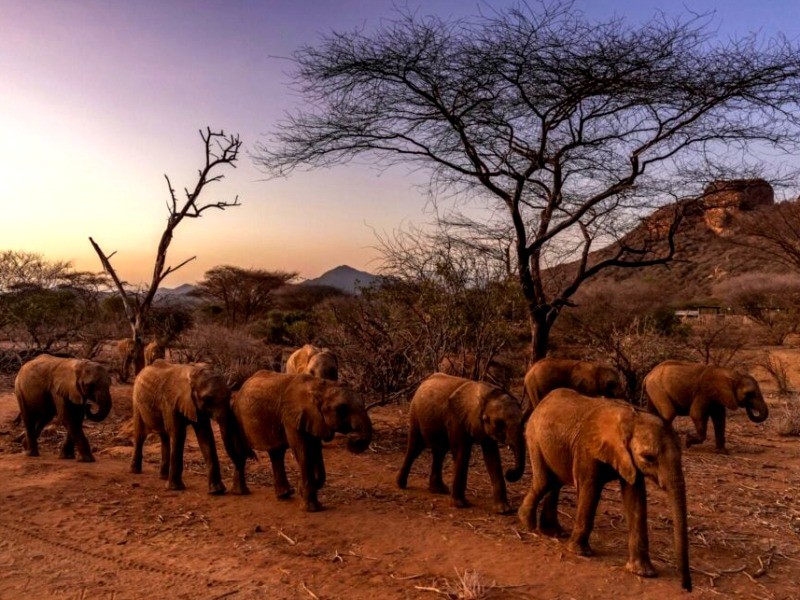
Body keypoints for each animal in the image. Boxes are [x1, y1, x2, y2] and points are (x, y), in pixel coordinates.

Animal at [130, 359, 245, 494]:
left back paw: (163, 477)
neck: (192, 372)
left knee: (164, 436)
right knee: (140, 435)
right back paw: (135, 471)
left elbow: (205, 434)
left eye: (229, 394)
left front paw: (216, 491)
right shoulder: (170, 402)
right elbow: (178, 433)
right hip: (136, 401)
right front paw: (175, 488)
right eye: (207, 398)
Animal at [232, 371, 372, 511]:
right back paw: (242, 492)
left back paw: (284, 494)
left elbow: (315, 450)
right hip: (238, 418)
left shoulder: (314, 419)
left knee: (276, 453)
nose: (353, 436)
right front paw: (312, 508)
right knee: (242, 453)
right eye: (342, 408)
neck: (320, 387)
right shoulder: (291, 417)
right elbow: (303, 451)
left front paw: (302, 488)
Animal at [396, 373, 526, 514]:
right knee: (415, 448)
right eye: (499, 423)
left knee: (440, 451)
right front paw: (460, 505)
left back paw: (439, 490)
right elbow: (462, 452)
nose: (509, 473)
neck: (485, 395)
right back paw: (401, 485)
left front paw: (504, 510)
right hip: (415, 414)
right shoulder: (456, 418)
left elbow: (492, 457)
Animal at [518, 389, 691, 591]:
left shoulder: (629, 459)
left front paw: (643, 572)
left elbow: (635, 497)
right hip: (533, 435)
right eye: (648, 457)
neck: (631, 418)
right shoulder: (587, 448)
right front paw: (580, 552)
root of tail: (543, 401)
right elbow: (590, 490)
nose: (686, 587)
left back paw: (553, 533)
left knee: (555, 482)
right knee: (544, 481)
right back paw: (528, 524)